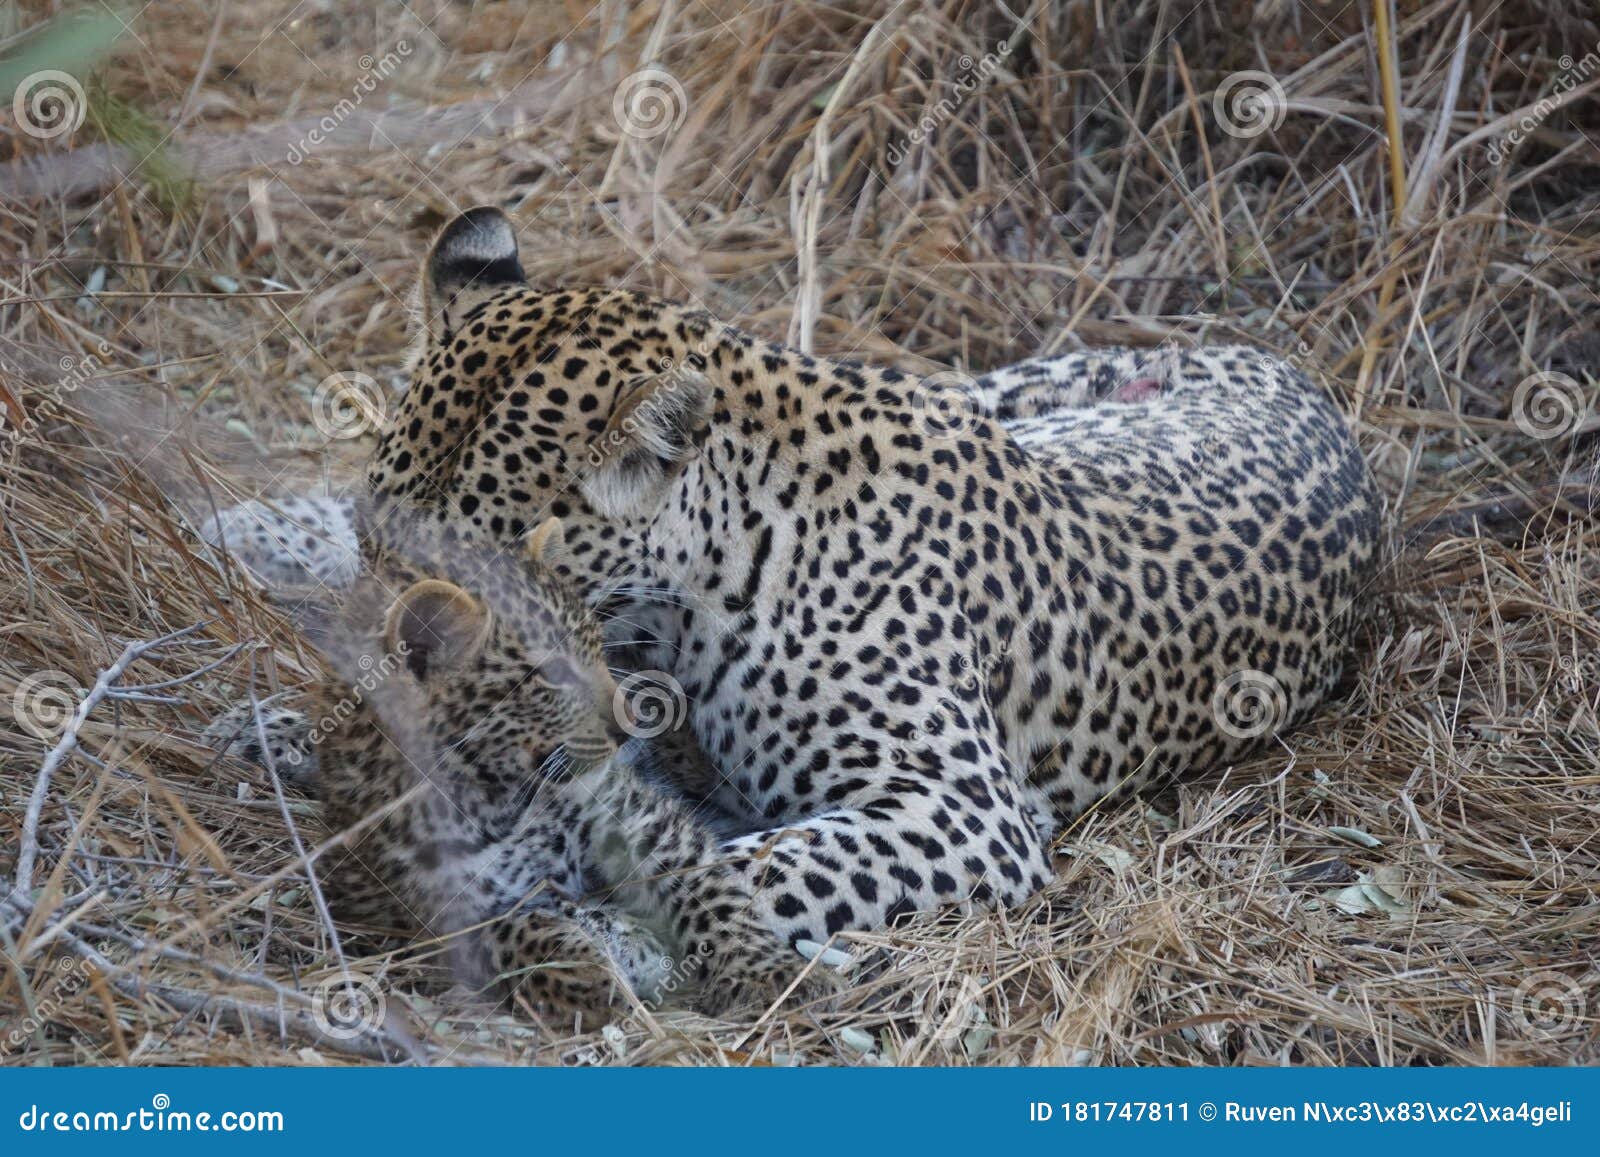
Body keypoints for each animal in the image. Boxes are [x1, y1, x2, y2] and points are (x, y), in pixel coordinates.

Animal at [348, 205, 1382, 962]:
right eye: (365, 537)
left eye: (483, 579)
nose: (381, 703)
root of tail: (1292, 370)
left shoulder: (962, 808)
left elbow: (744, 868)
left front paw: (583, 924)